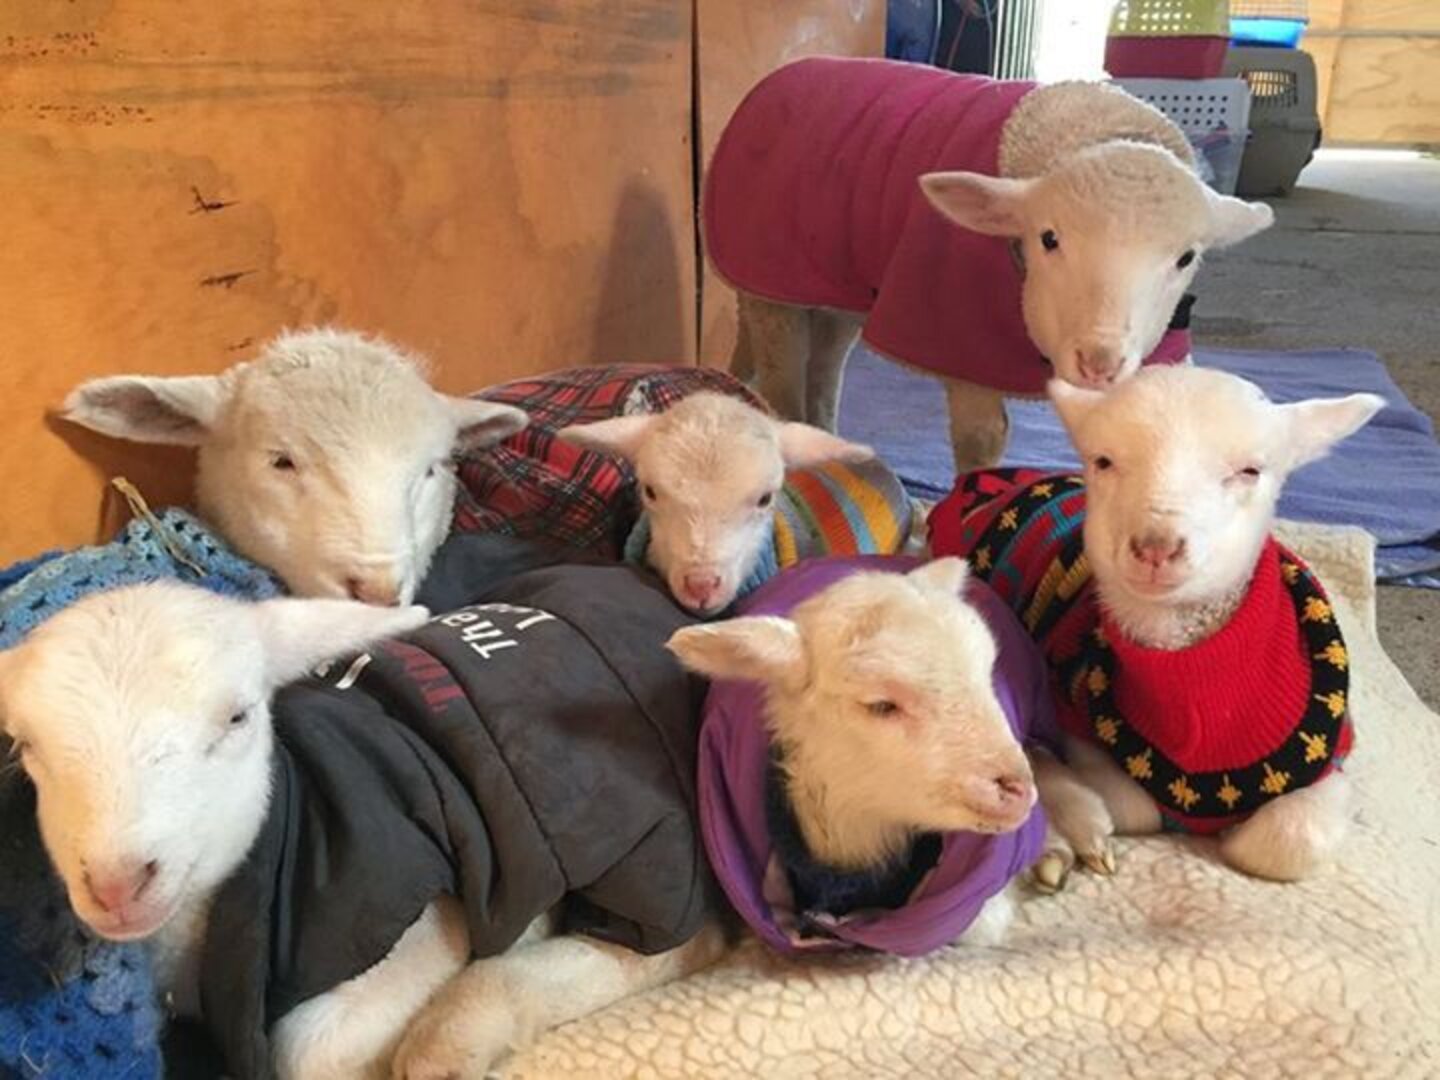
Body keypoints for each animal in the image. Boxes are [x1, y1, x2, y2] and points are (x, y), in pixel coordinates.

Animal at [0, 578, 725, 1079]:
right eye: (26, 746)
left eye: (237, 718)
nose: (117, 884)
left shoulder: (422, 916)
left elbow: (305, 1050)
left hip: (647, 850)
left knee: (682, 942)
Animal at [704, 57, 1275, 470]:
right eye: (1048, 238)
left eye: (1186, 257)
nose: (1100, 362)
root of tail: (778, 76)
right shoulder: (961, 345)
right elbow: (982, 442)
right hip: (767, 273)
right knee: (781, 378)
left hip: (834, 284)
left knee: (823, 369)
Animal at [929, 366, 1383, 881]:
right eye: (1103, 461)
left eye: (1250, 471)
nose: (1155, 547)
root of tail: (986, 479)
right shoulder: (1076, 728)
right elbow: (1133, 808)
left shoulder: (1333, 759)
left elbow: (1286, 842)